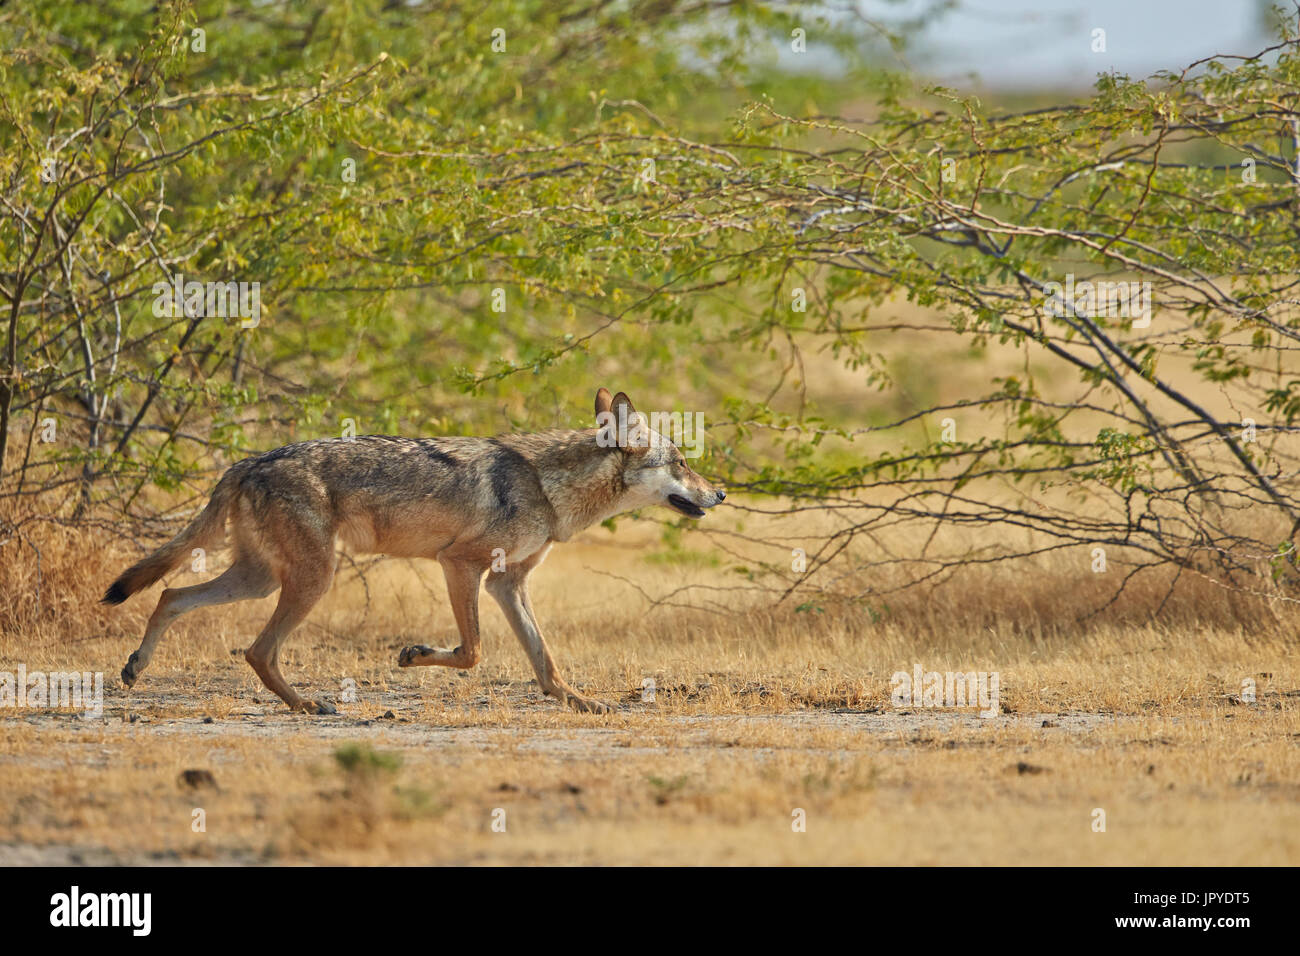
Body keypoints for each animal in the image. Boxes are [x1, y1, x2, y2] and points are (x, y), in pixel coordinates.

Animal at [102, 389, 726, 714]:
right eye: (682, 463)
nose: (720, 494)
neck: (550, 489)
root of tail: (248, 460)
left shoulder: (508, 583)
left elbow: (544, 659)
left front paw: (581, 702)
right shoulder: (462, 565)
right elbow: (472, 652)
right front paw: (412, 656)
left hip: (261, 579)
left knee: (171, 594)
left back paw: (135, 668)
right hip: (309, 578)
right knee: (256, 650)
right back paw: (307, 706)